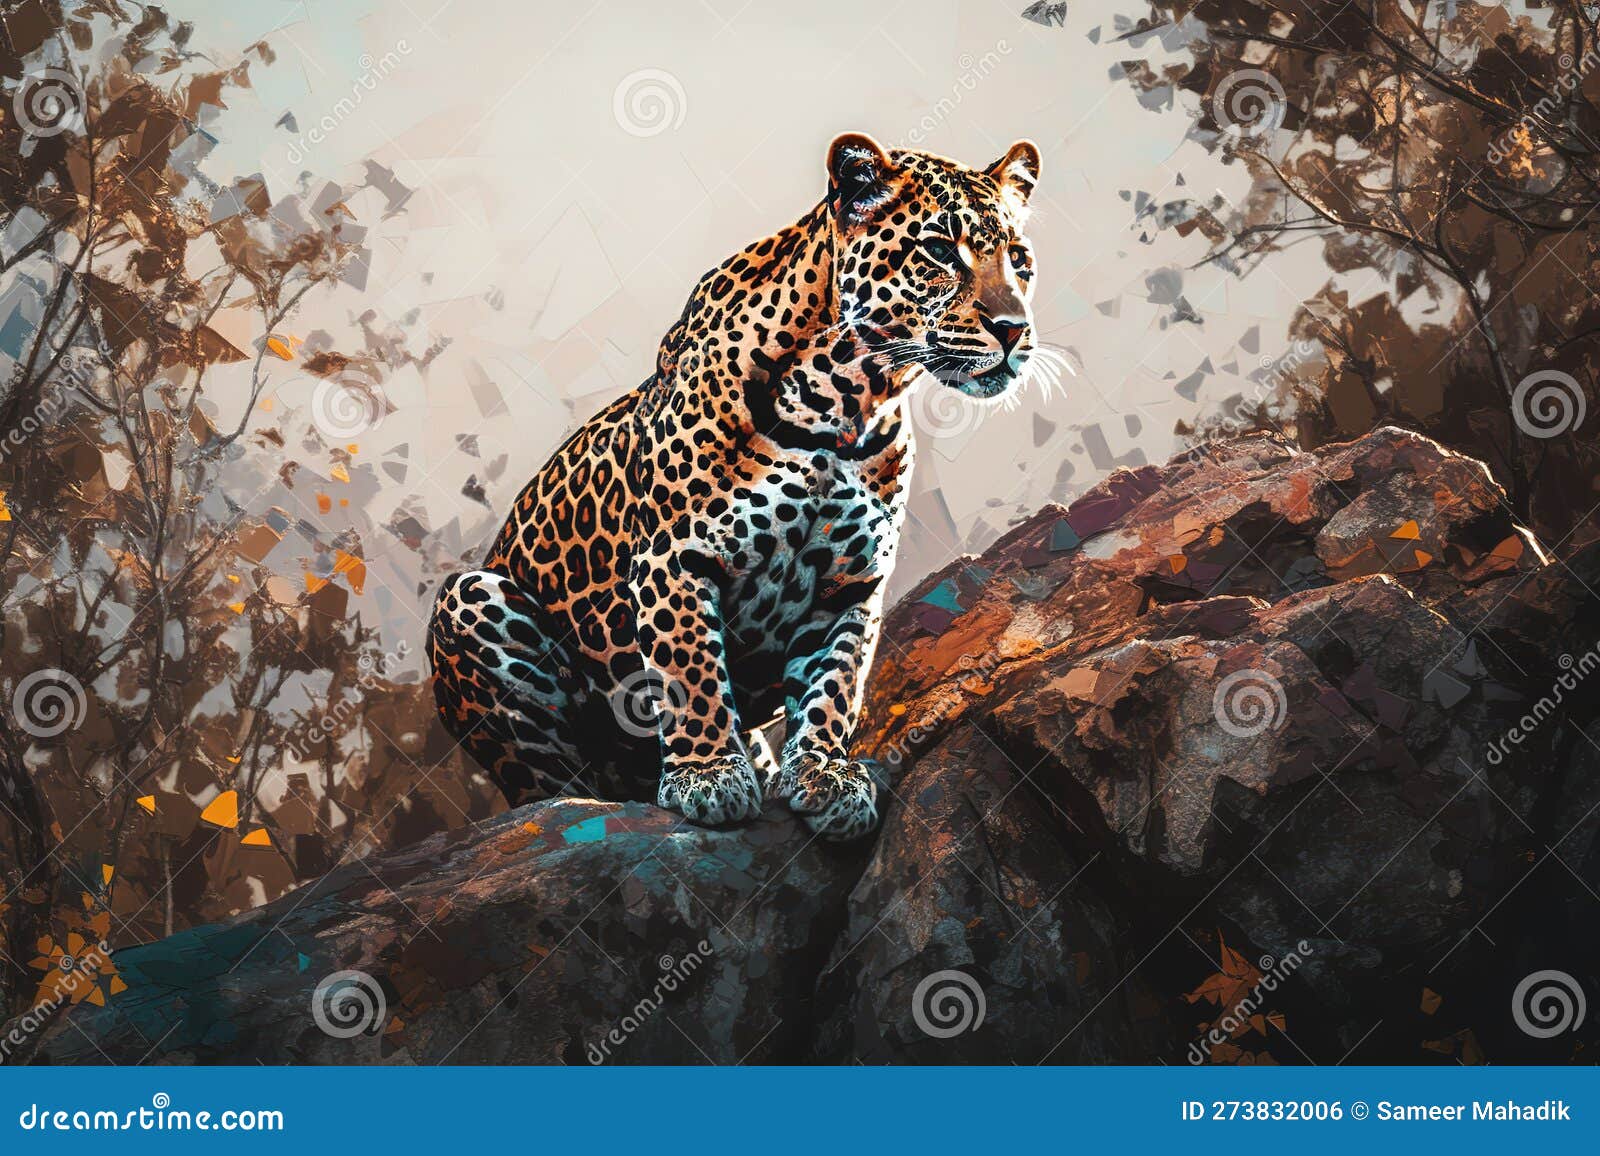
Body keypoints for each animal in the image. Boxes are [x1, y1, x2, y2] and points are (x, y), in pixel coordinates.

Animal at [428, 132, 1042, 841]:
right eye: (940, 250)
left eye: (1020, 260)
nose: (1015, 328)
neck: (849, 400)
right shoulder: (674, 559)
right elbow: (690, 671)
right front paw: (709, 776)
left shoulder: (850, 585)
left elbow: (834, 683)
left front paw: (825, 777)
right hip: (469, 605)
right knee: (550, 787)